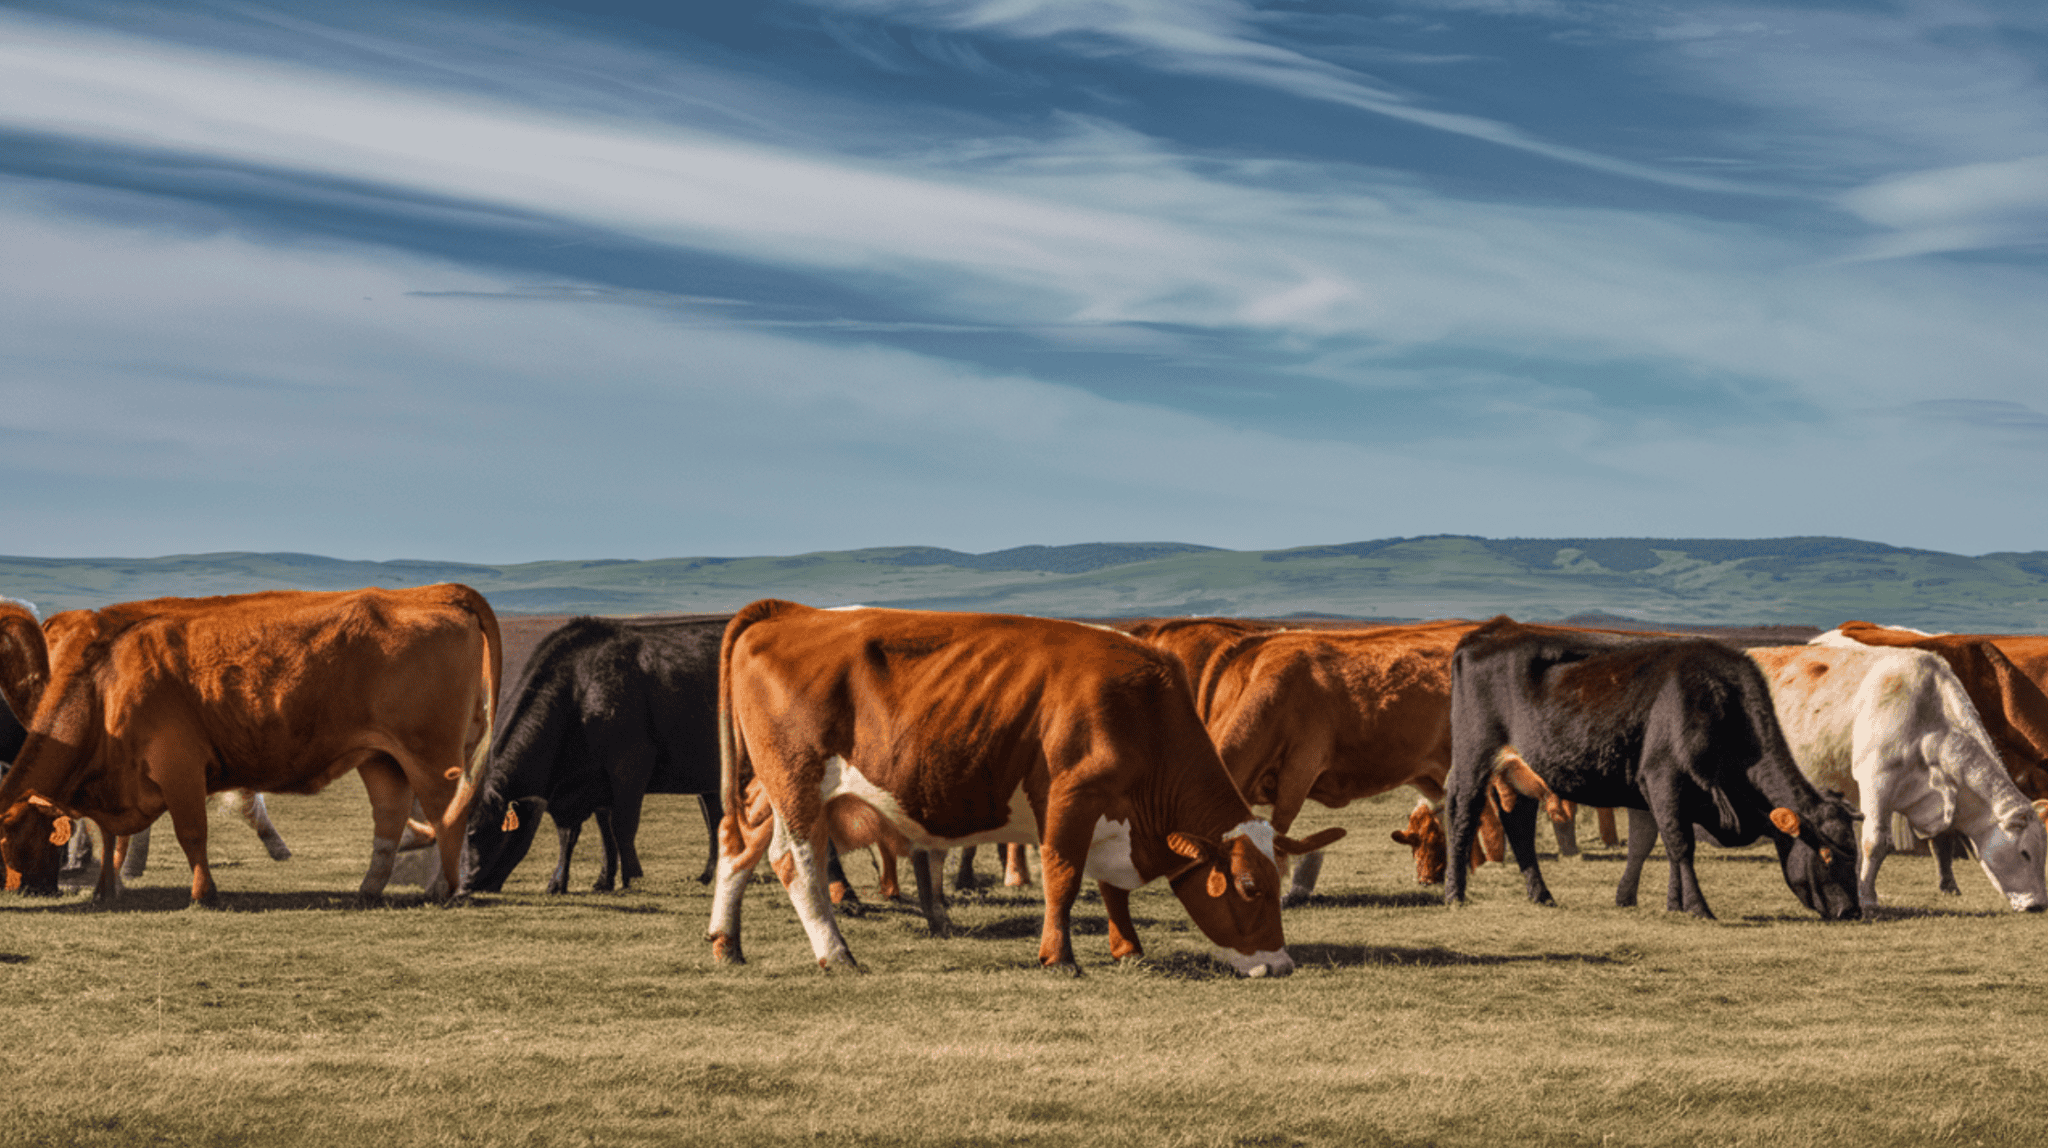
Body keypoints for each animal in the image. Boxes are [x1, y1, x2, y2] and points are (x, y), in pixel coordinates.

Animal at [0, 585, 501, 904]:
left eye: (5, 833)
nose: (17, 888)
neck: (103, 678)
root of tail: (431, 592)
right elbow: (110, 838)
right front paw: (105, 891)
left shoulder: (179, 766)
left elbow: (191, 833)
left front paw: (203, 894)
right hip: (383, 758)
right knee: (391, 819)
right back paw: (368, 891)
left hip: (431, 759)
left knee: (447, 814)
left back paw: (444, 892)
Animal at [461, 615, 731, 895]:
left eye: (473, 833)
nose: (466, 885)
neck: (580, 689)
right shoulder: (594, 783)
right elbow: (589, 833)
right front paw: (581, 881)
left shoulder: (630, 765)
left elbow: (622, 826)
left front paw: (631, 877)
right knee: (715, 819)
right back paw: (710, 875)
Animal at [708, 600, 1343, 976]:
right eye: (1249, 887)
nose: (1280, 965)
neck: (1141, 708)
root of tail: (791, 612)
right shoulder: (1071, 798)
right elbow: (1064, 877)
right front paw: (1059, 957)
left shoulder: (1112, 813)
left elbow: (1111, 889)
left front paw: (1128, 949)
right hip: (798, 786)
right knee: (797, 864)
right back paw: (836, 954)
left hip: (772, 793)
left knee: (739, 847)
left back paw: (727, 942)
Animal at [1444, 617, 1862, 920]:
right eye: (1827, 855)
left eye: (1854, 853)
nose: (1851, 911)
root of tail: (1491, 630)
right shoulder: (1663, 780)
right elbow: (1680, 845)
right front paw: (1698, 908)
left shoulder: (1672, 794)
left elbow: (1659, 844)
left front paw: (1674, 904)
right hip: (1473, 758)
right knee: (1463, 815)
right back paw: (1454, 893)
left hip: (1520, 772)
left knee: (1518, 825)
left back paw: (1541, 895)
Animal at [1746, 643, 2047, 910]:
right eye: (2025, 853)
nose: (2038, 904)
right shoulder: (1876, 781)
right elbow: (1876, 842)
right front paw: (1867, 897)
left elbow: (1941, 841)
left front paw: (1948, 885)